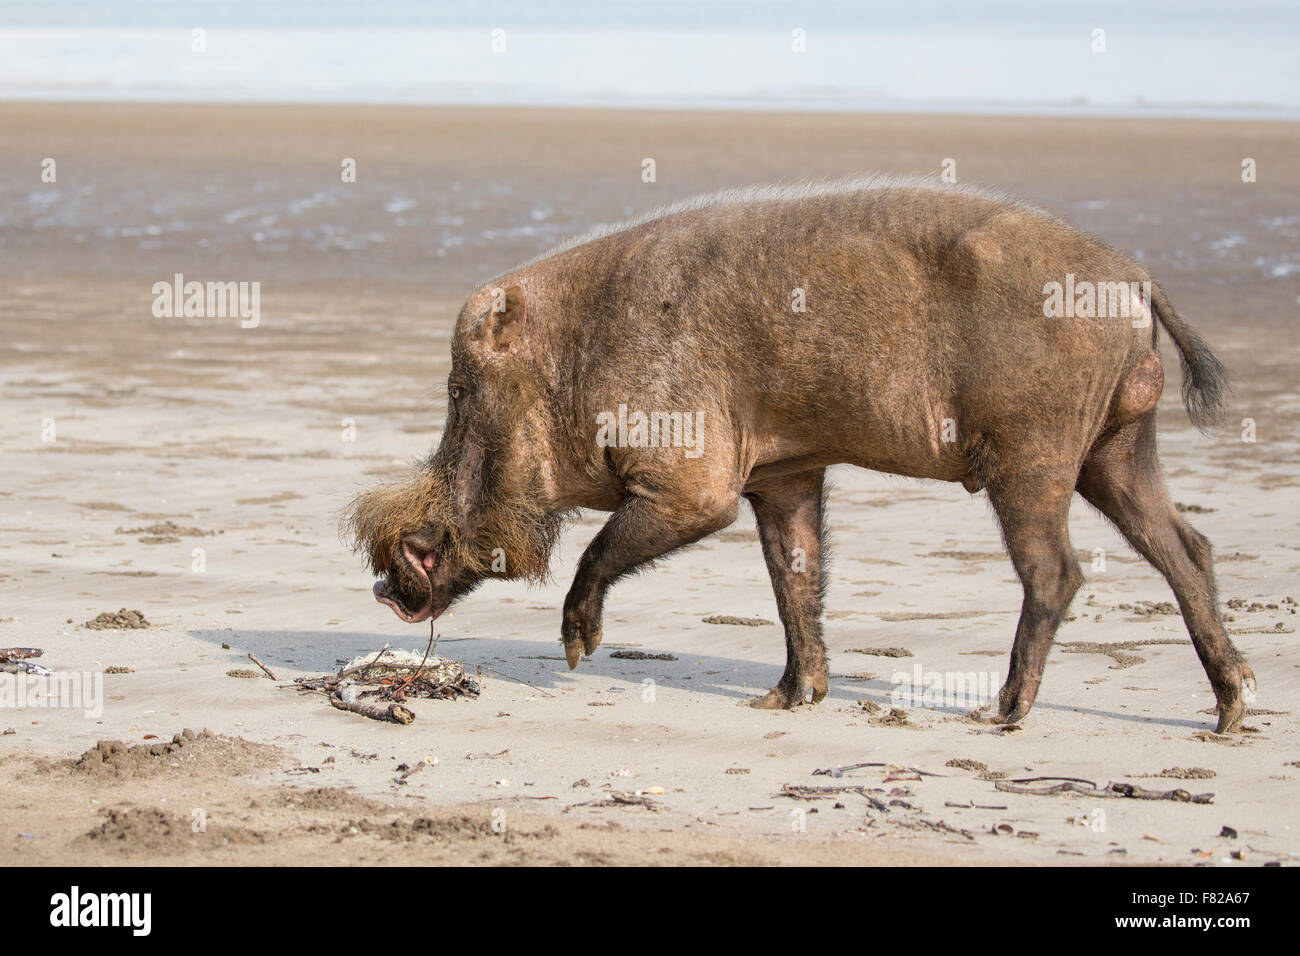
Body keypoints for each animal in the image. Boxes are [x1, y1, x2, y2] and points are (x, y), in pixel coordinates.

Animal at [345, 176, 1256, 733]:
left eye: (459, 391)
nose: (386, 584)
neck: (571, 360)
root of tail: (1137, 280)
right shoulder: (784, 474)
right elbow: (794, 576)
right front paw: (782, 702)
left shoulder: (696, 479)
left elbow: (607, 545)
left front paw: (575, 654)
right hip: (1117, 447)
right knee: (1188, 548)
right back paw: (1230, 713)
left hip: (1035, 449)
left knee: (1058, 571)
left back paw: (998, 714)